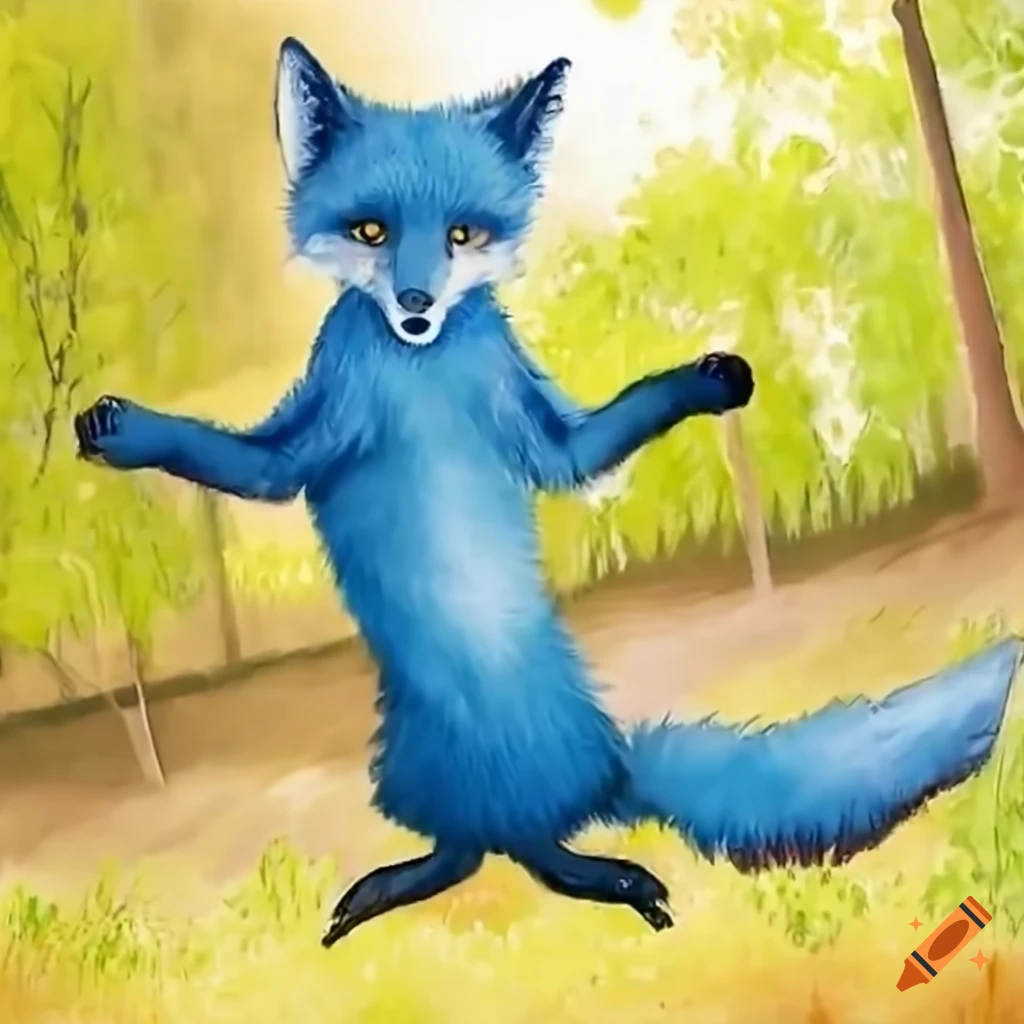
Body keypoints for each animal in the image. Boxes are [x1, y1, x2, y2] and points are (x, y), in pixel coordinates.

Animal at [75, 37, 1022, 947]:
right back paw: (397, 892)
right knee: (472, 855)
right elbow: (236, 459)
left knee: (532, 852)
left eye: (462, 234)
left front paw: (707, 381)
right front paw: (123, 433)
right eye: (371, 229)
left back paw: (614, 881)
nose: (415, 305)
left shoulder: (537, 427)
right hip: (415, 763)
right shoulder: (310, 430)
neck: (422, 370)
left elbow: (602, 434)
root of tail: (608, 765)